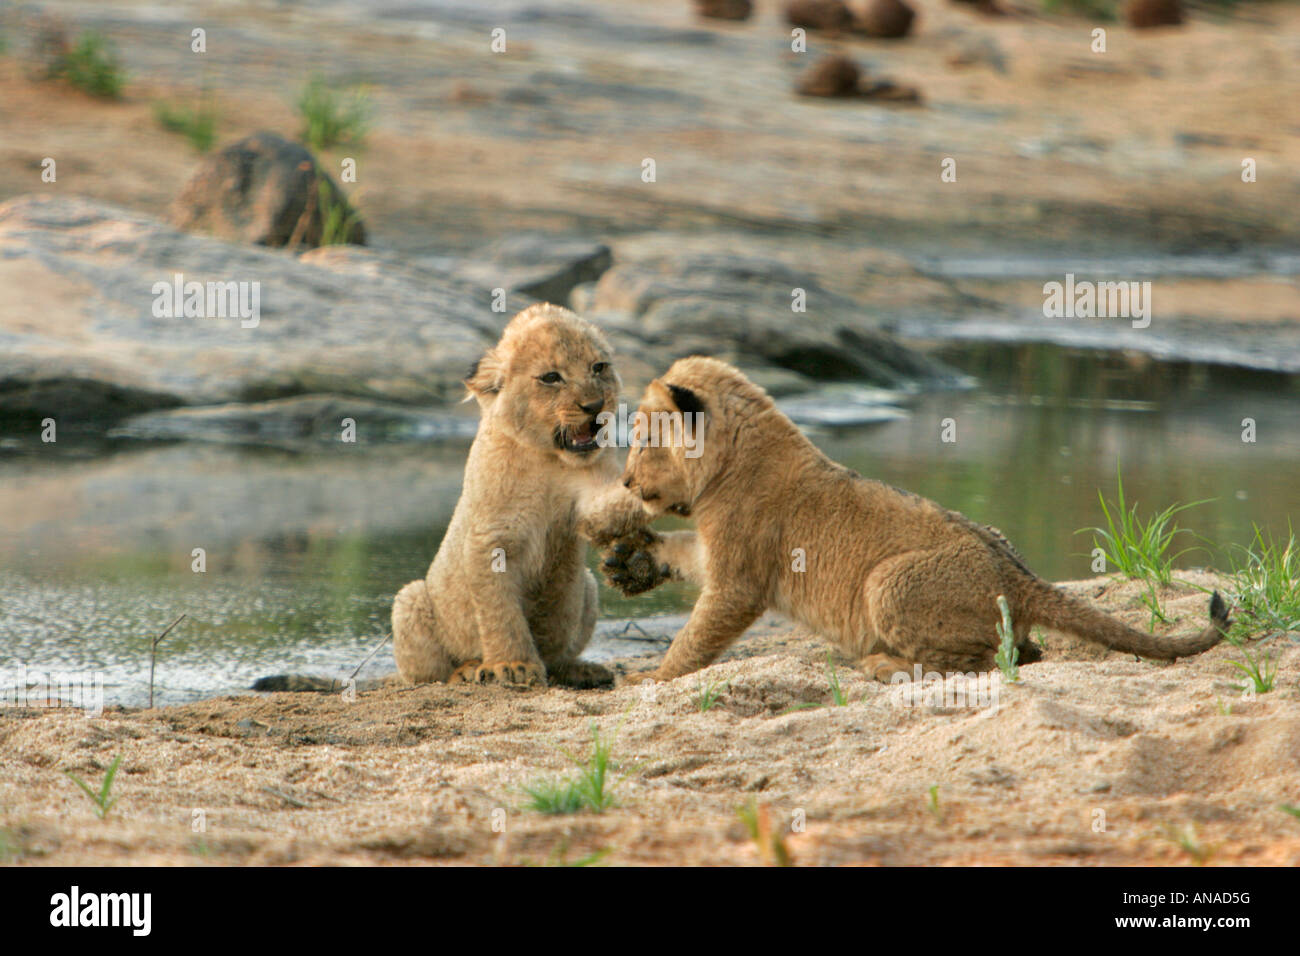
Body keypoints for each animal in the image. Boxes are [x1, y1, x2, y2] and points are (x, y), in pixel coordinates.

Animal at [390, 303, 646, 688]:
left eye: (598, 367)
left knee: (558, 657)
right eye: (551, 377)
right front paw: (514, 665)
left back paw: (582, 669)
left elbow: (609, 507)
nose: (594, 404)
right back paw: (469, 670)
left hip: (586, 585)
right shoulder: (490, 539)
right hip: (411, 599)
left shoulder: (590, 495)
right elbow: (501, 612)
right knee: (433, 672)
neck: (547, 459)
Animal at [594, 356, 1229, 683]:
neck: (733, 457)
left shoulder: (739, 582)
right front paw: (634, 560)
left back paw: (880, 663)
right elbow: (683, 550)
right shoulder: (715, 550)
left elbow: (695, 638)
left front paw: (651, 678)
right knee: (1025, 652)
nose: (624, 483)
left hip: (888, 580)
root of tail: (1018, 575)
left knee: (991, 662)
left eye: (644, 438)